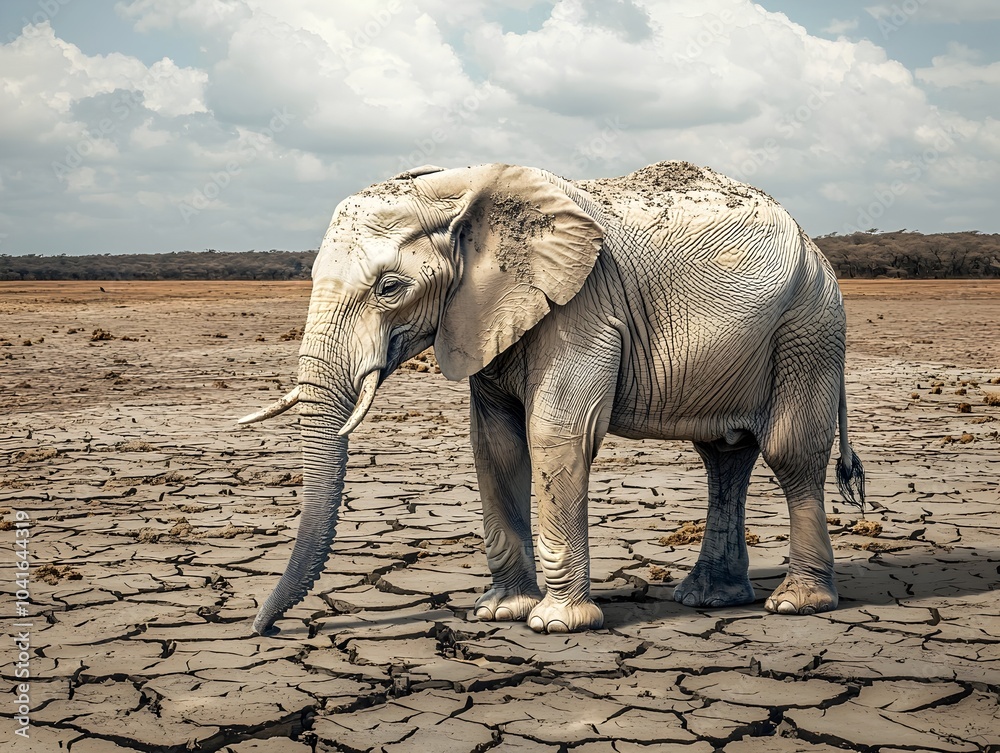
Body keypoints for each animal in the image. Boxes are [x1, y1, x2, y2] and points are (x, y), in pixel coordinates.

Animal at [239, 160, 865, 636]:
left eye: (390, 288)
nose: (261, 629)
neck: (457, 187)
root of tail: (813, 244)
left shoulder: (582, 306)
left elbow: (555, 435)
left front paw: (555, 624)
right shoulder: (484, 315)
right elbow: (494, 445)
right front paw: (499, 613)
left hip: (808, 326)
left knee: (789, 453)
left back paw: (795, 604)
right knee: (723, 458)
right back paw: (709, 598)